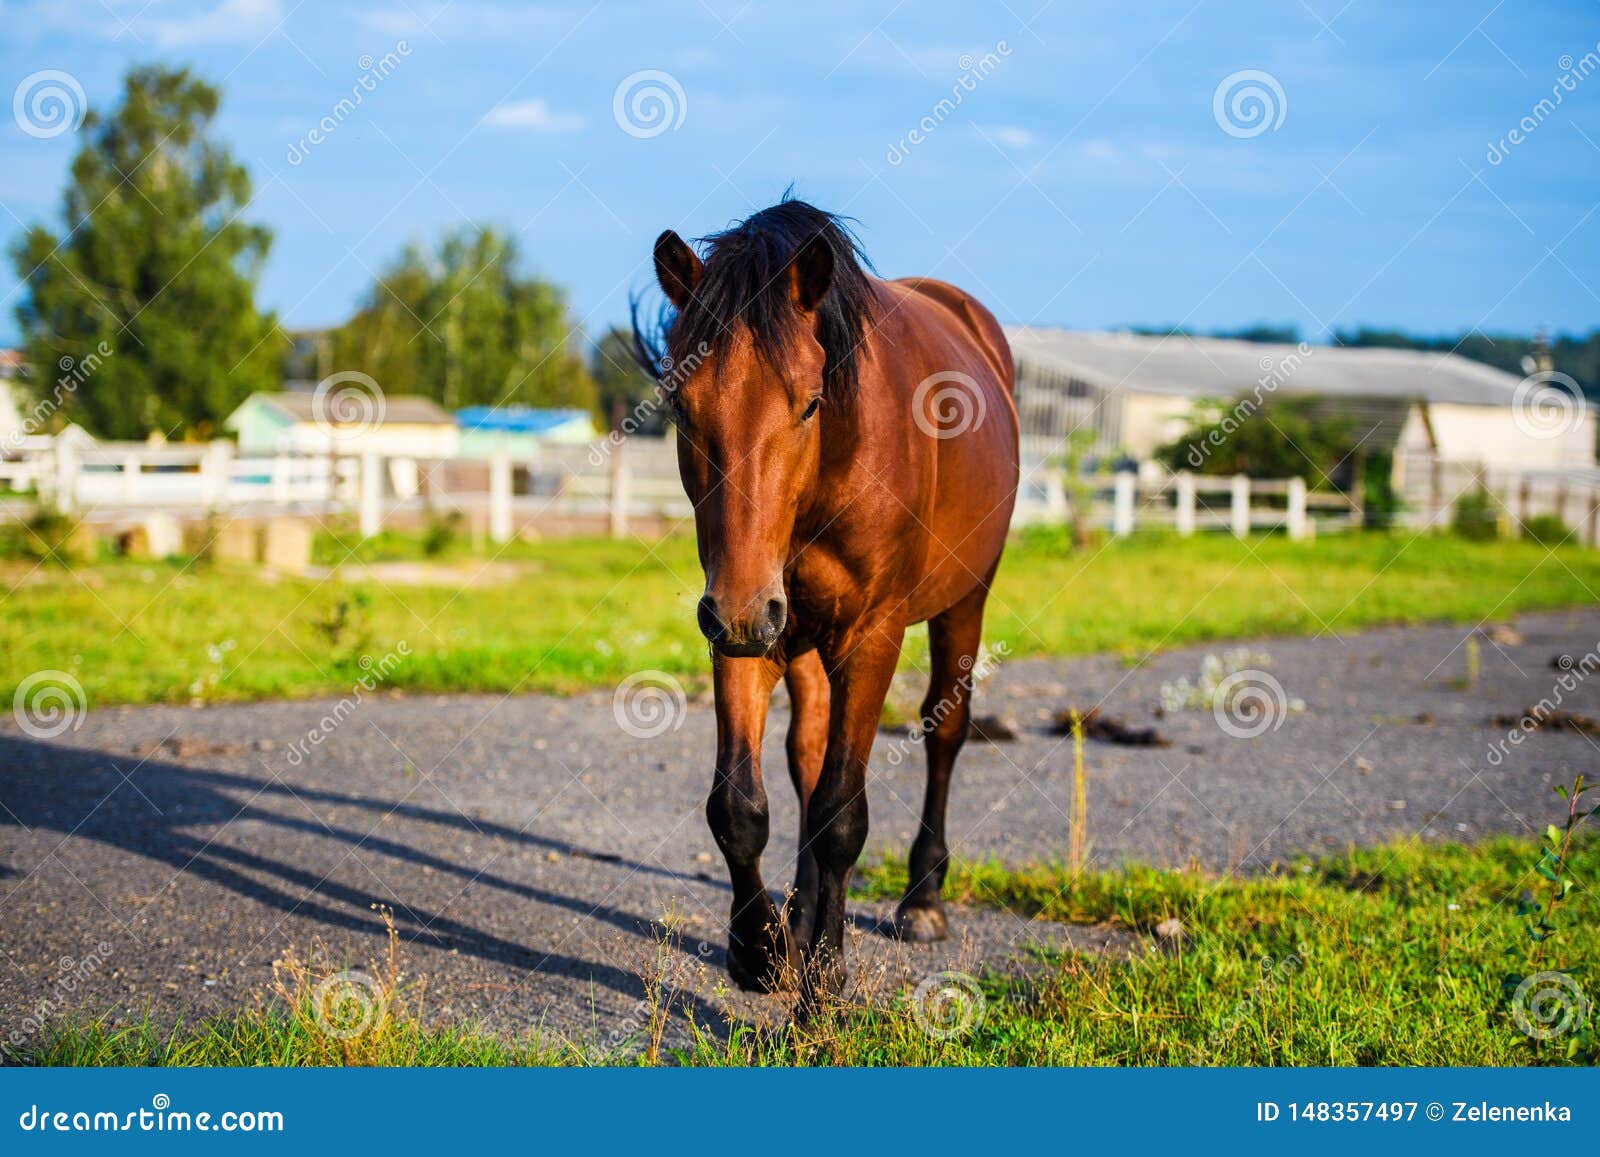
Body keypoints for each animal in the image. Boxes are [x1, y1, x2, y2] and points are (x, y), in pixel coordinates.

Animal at [634, 198, 1019, 1014]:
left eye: (810, 403)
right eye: (681, 406)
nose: (745, 608)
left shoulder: (869, 635)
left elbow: (843, 812)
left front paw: (823, 981)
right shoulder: (742, 626)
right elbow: (740, 805)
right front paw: (760, 951)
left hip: (963, 599)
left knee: (944, 730)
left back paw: (922, 900)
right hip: (791, 630)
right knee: (806, 753)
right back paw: (804, 910)